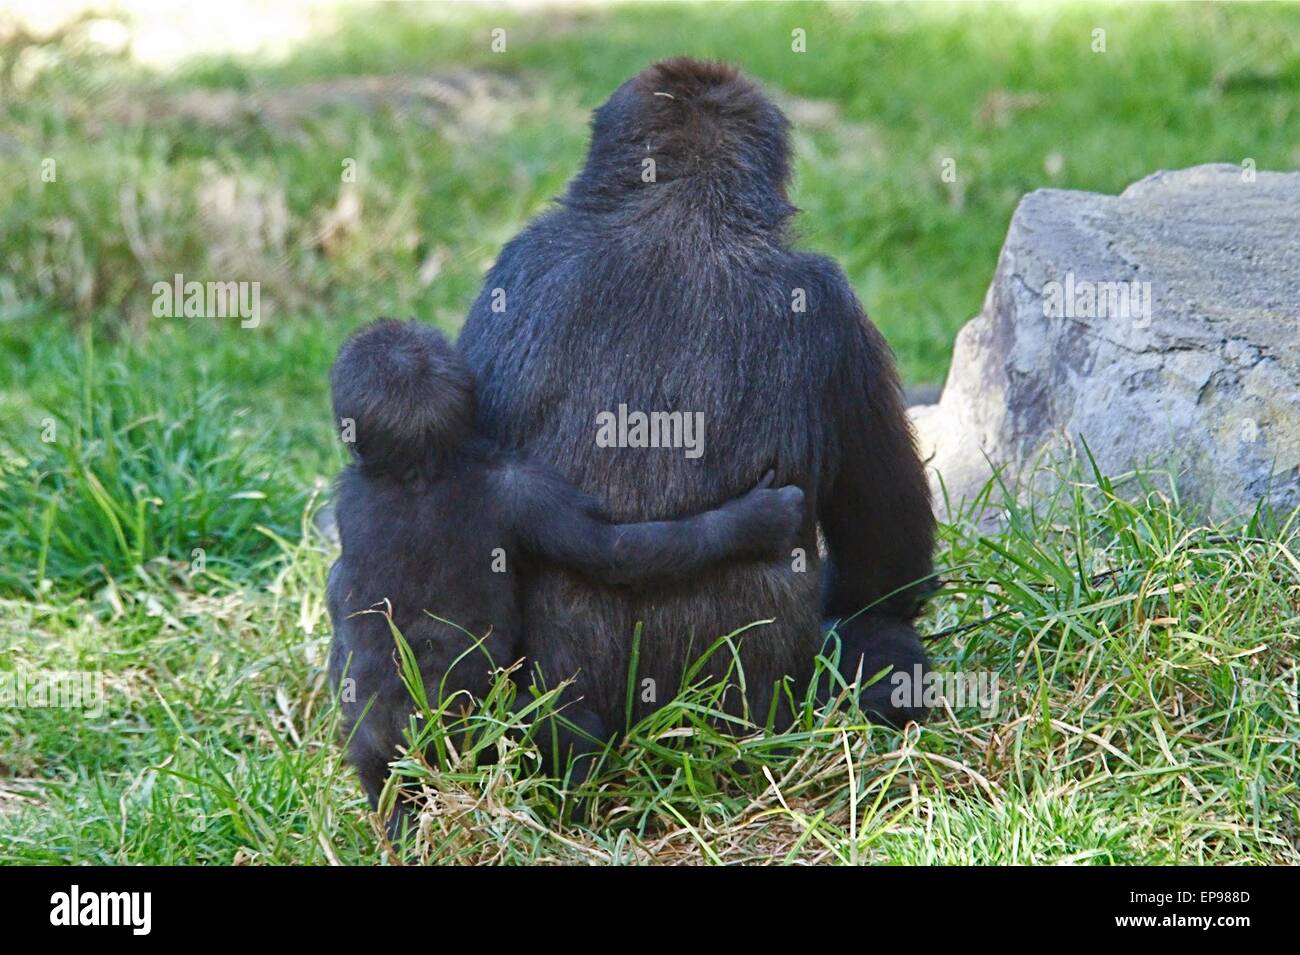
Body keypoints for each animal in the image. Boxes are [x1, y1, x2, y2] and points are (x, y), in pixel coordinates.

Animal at [325, 318, 805, 811]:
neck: (418, 474)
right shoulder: (522, 488)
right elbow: (615, 552)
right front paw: (756, 519)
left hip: (409, 740)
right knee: (573, 729)